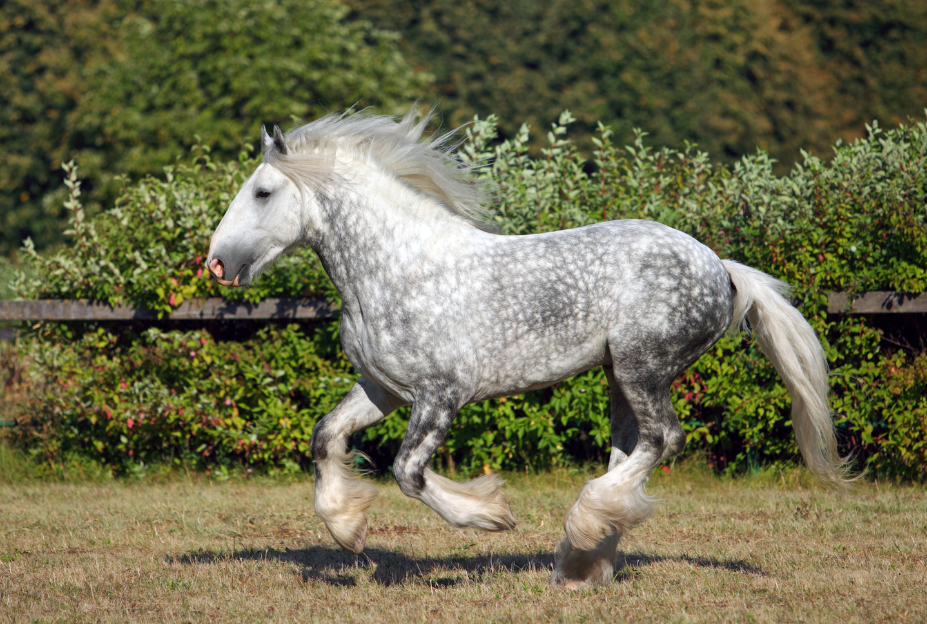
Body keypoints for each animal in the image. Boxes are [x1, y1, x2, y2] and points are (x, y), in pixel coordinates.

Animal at [206, 109, 849, 588]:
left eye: (262, 192)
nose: (216, 263)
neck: (399, 269)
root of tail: (721, 268)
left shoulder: (440, 396)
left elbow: (408, 471)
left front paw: (490, 515)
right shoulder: (384, 389)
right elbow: (325, 437)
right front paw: (348, 531)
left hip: (644, 367)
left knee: (664, 440)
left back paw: (580, 536)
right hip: (618, 375)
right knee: (631, 454)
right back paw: (583, 559)